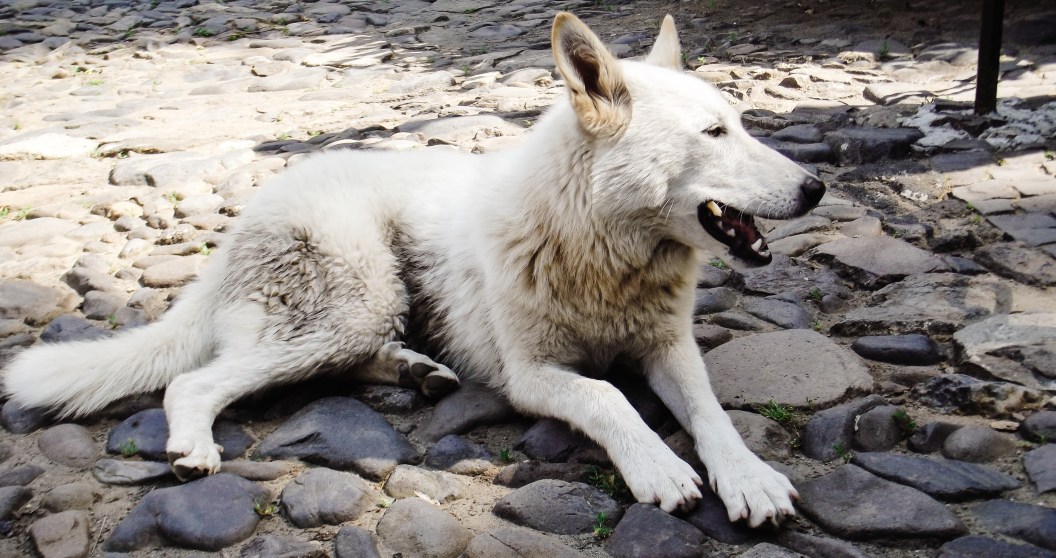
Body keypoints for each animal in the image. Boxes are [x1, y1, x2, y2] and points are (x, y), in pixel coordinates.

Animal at [3, 13, 824, 527]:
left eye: (741, 123)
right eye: (713, 133)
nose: (817, 188)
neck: (597, 246)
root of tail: (246, 220)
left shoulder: (668, 349)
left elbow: (711, 414)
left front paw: (747, 477)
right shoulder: (534, 376)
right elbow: (608, 399)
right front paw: (657, 467)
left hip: (361, 311)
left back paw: (414, 370)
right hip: (352, 299)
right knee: (195, 382)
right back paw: (199, 445)